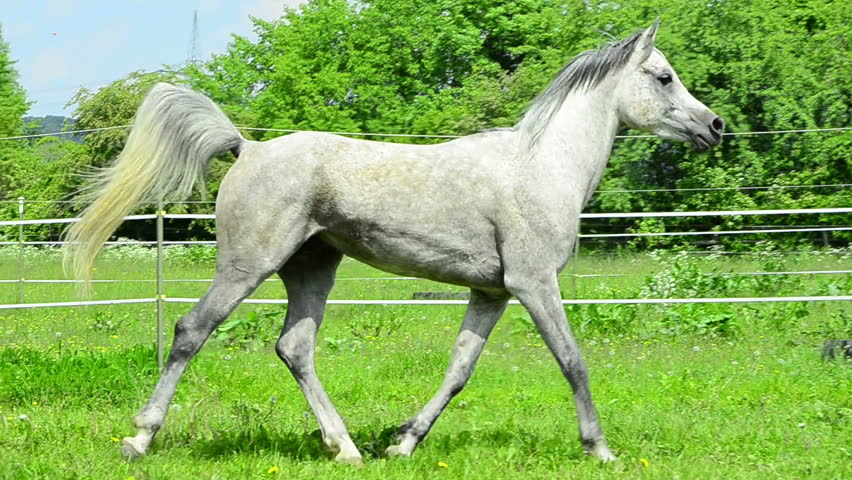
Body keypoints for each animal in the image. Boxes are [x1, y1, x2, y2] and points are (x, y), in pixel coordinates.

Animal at [64, 21, 723, 464]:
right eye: (663, 77)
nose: (714, 126)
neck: (540, 167)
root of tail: (248, 148)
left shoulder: (492, 294)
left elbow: (459, 371)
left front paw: (403, 444)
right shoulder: (535, 284)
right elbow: (572, 360)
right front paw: (600, 449)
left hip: (312, 268)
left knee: (295, 348)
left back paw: (347, 448)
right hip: (247, 265)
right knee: (191, 331)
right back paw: (139, 438)